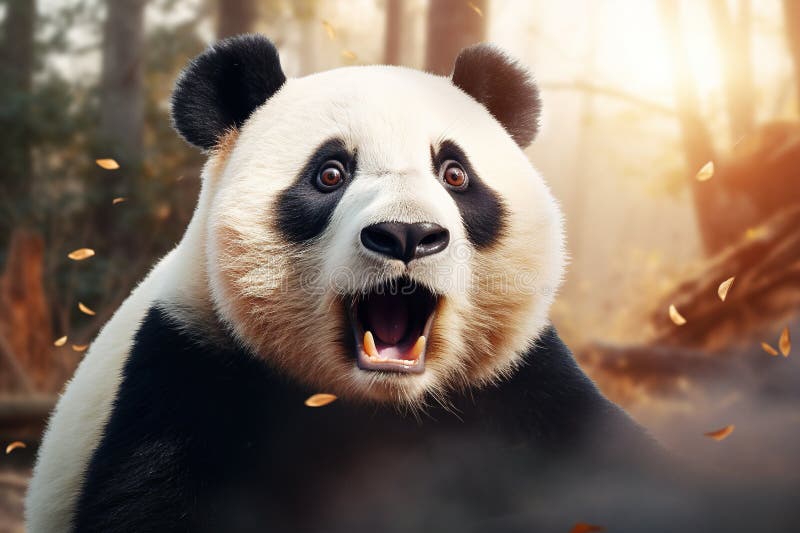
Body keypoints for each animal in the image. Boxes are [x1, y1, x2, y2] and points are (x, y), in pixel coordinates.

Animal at [26, 35, 658, 533]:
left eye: (455, 174)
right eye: (330, 173)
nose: (407, 235)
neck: (380, 405)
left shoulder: (523, 388)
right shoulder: (185, 370)